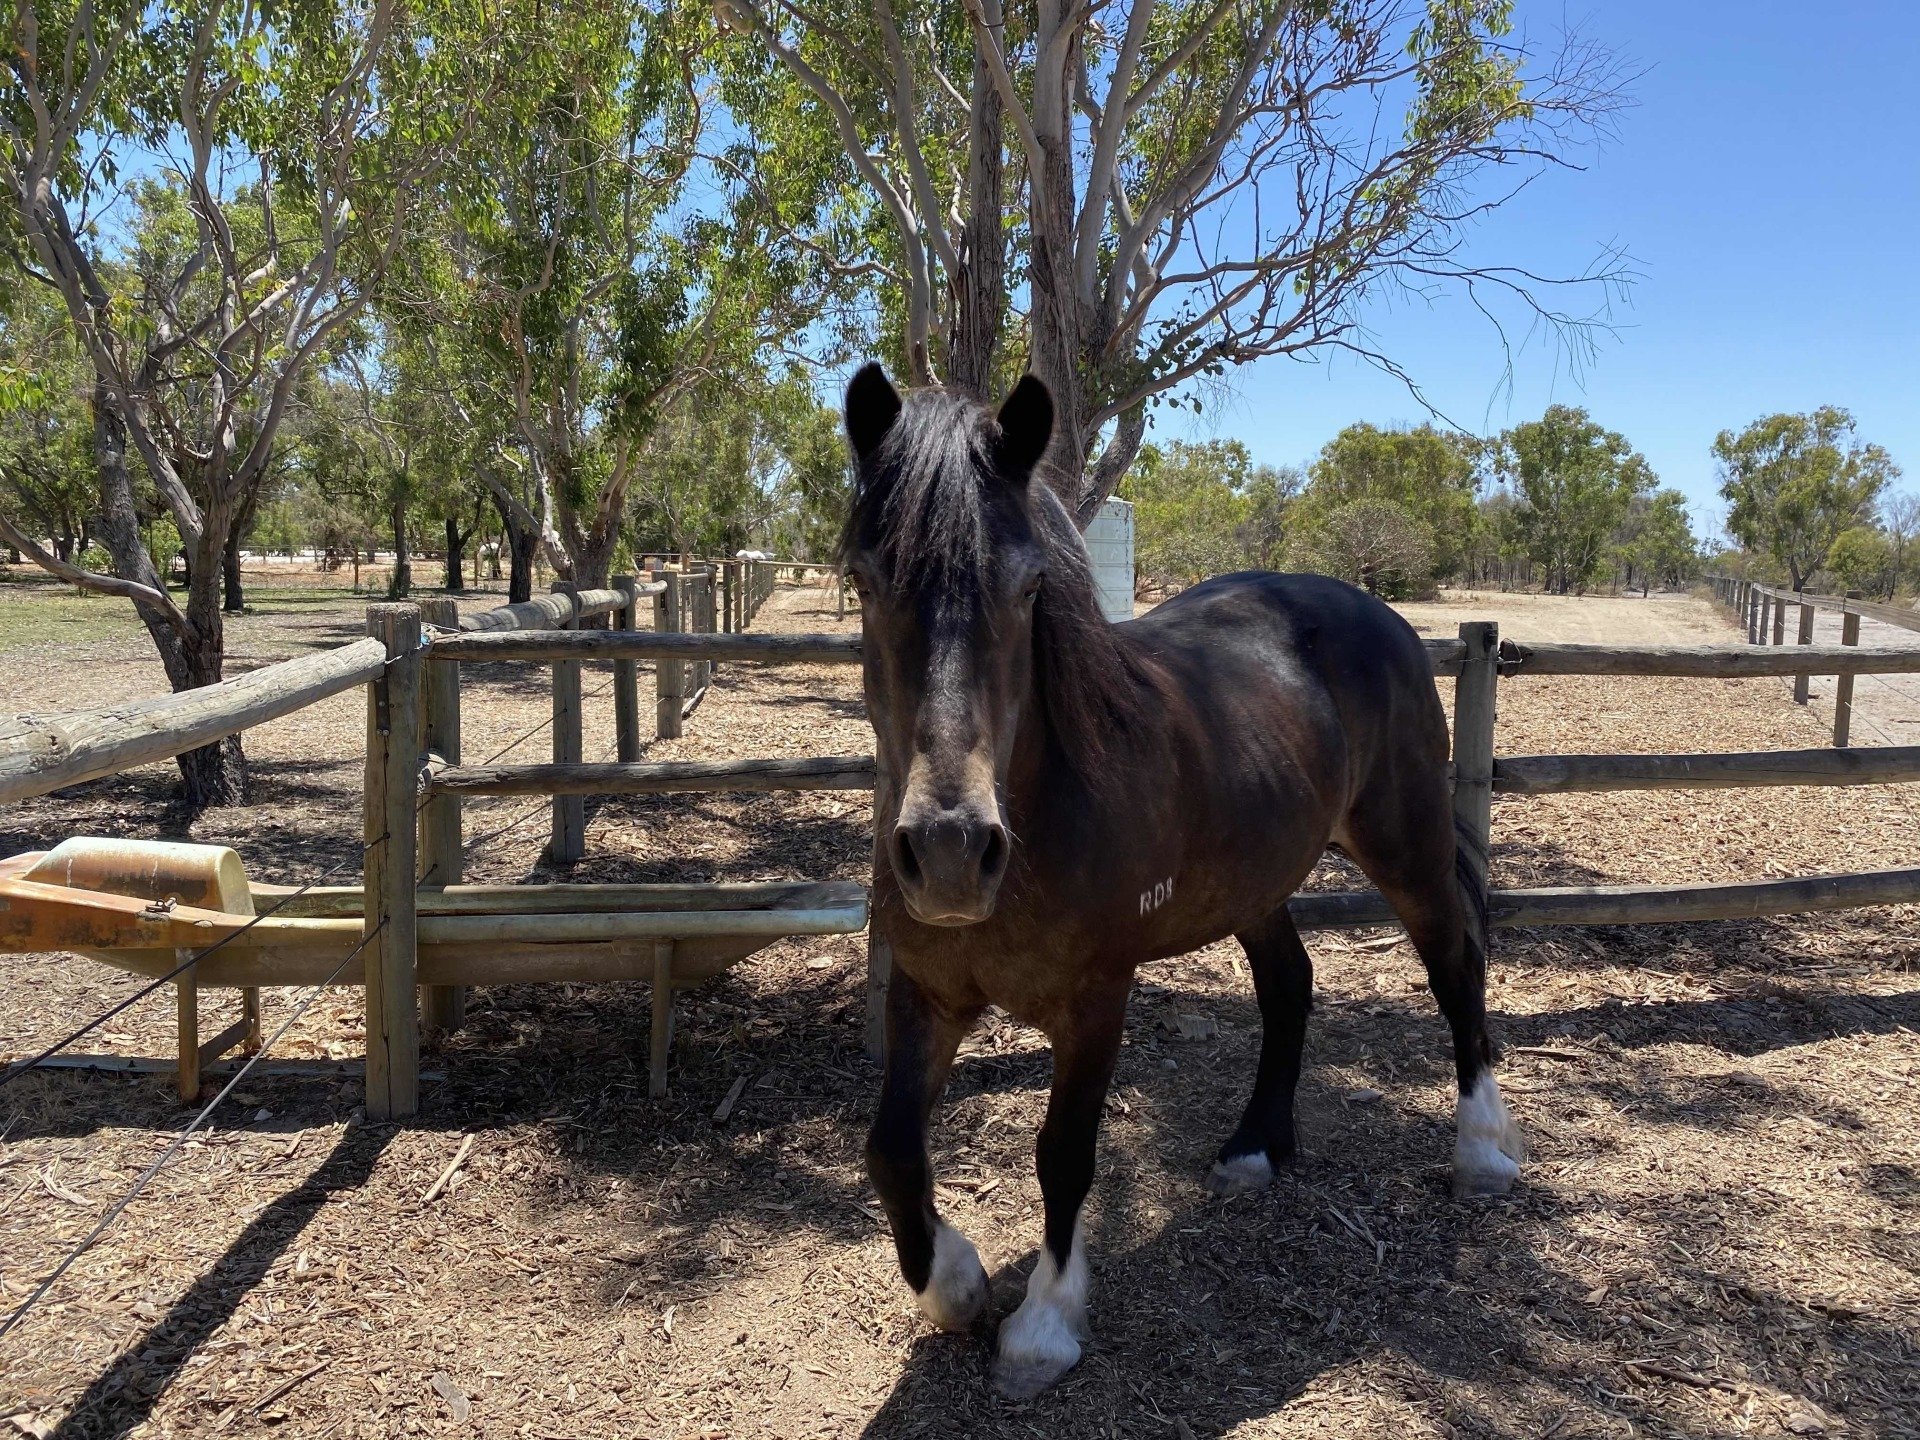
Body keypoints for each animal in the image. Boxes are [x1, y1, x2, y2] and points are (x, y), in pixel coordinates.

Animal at [840, 364, 1524, 1399]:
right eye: (864, 580)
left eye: (1028, 585)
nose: (952, 850)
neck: (1043, 809)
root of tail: (1379, 614)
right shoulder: (927, 993)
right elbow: (889, 1149)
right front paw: (954, 1285)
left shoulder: (1096, 1001)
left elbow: (1063, 1154)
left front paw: (1044, 1327)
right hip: (1252, 882)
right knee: (1290, 984)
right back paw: (1253, 1150)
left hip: (1404, 846)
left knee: (1456, 967)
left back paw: (1482, 1150)